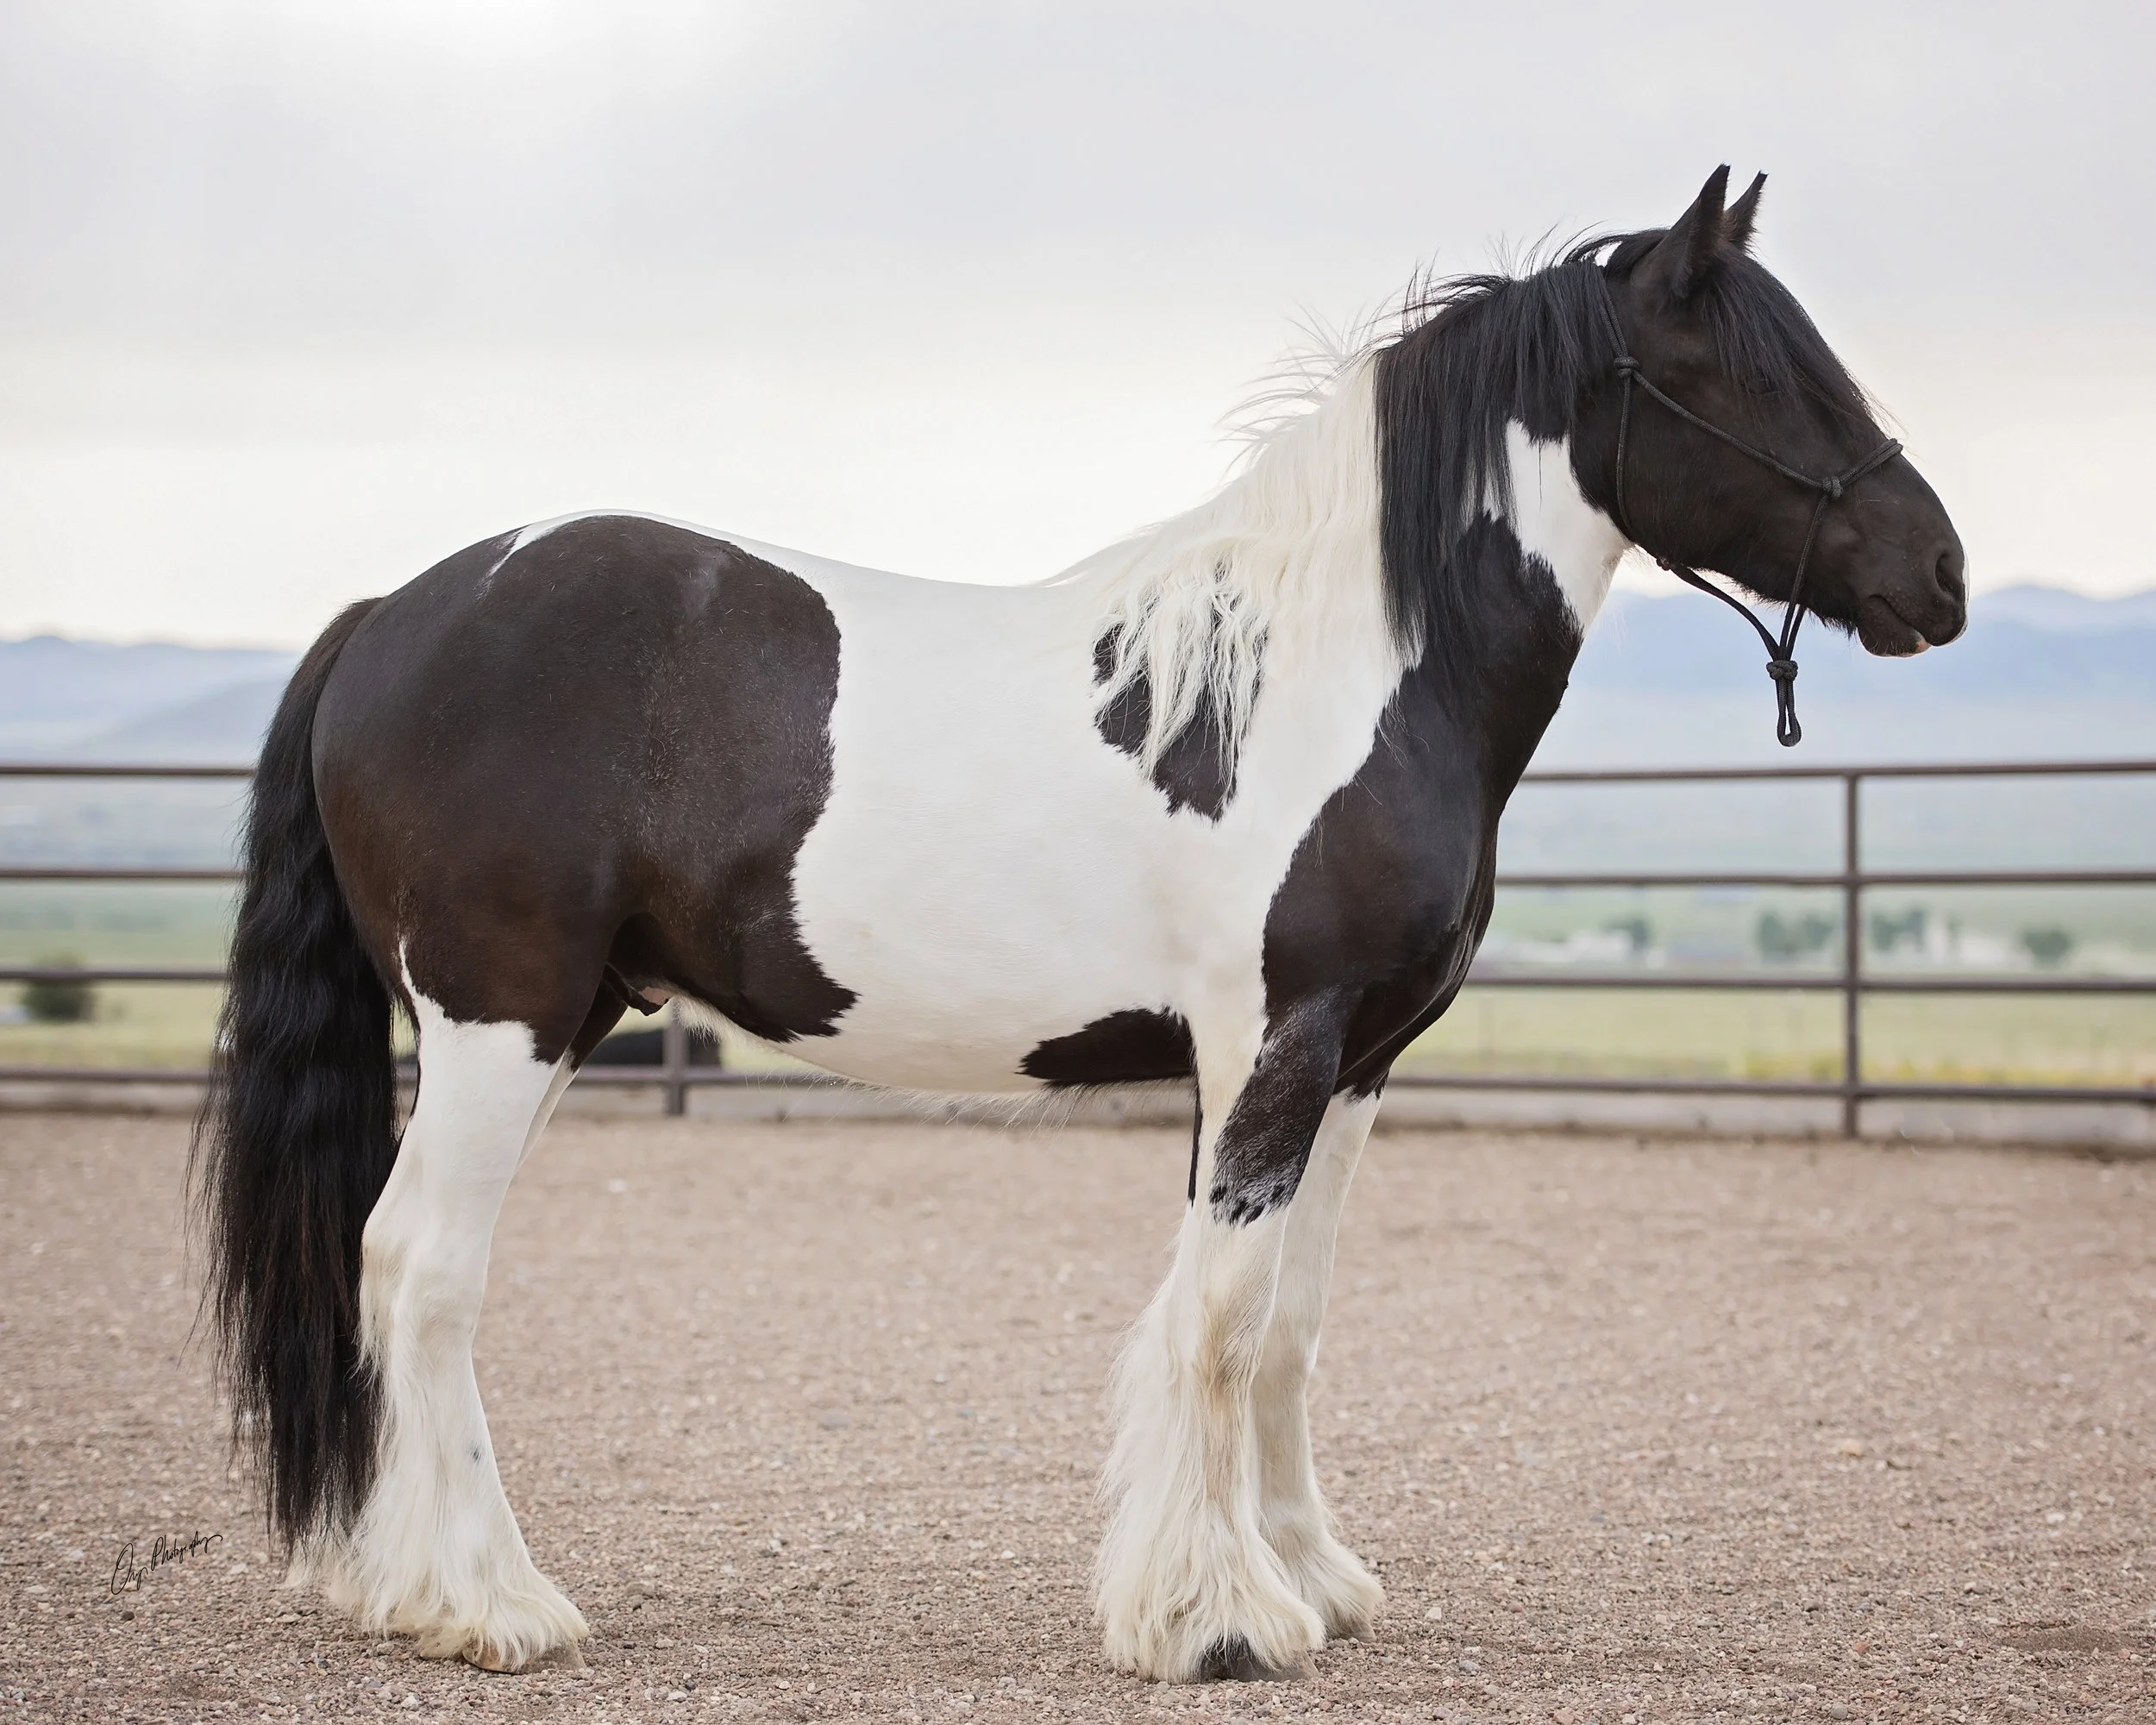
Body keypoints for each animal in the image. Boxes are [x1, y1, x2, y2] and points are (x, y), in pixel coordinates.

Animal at [194, 167, 1965, 1684]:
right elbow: (1221, 1319)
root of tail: (392, 615)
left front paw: (1311, 1578)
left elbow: (1290, 1324)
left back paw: (398, 1583)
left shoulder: (1357, 1064)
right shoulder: (1271, 1047)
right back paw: (488, 1604)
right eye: (1754, 379)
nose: (1941, 576)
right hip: (499, 1017)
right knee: (421, 1267)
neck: (1336, 679)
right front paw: (1219, 1619)